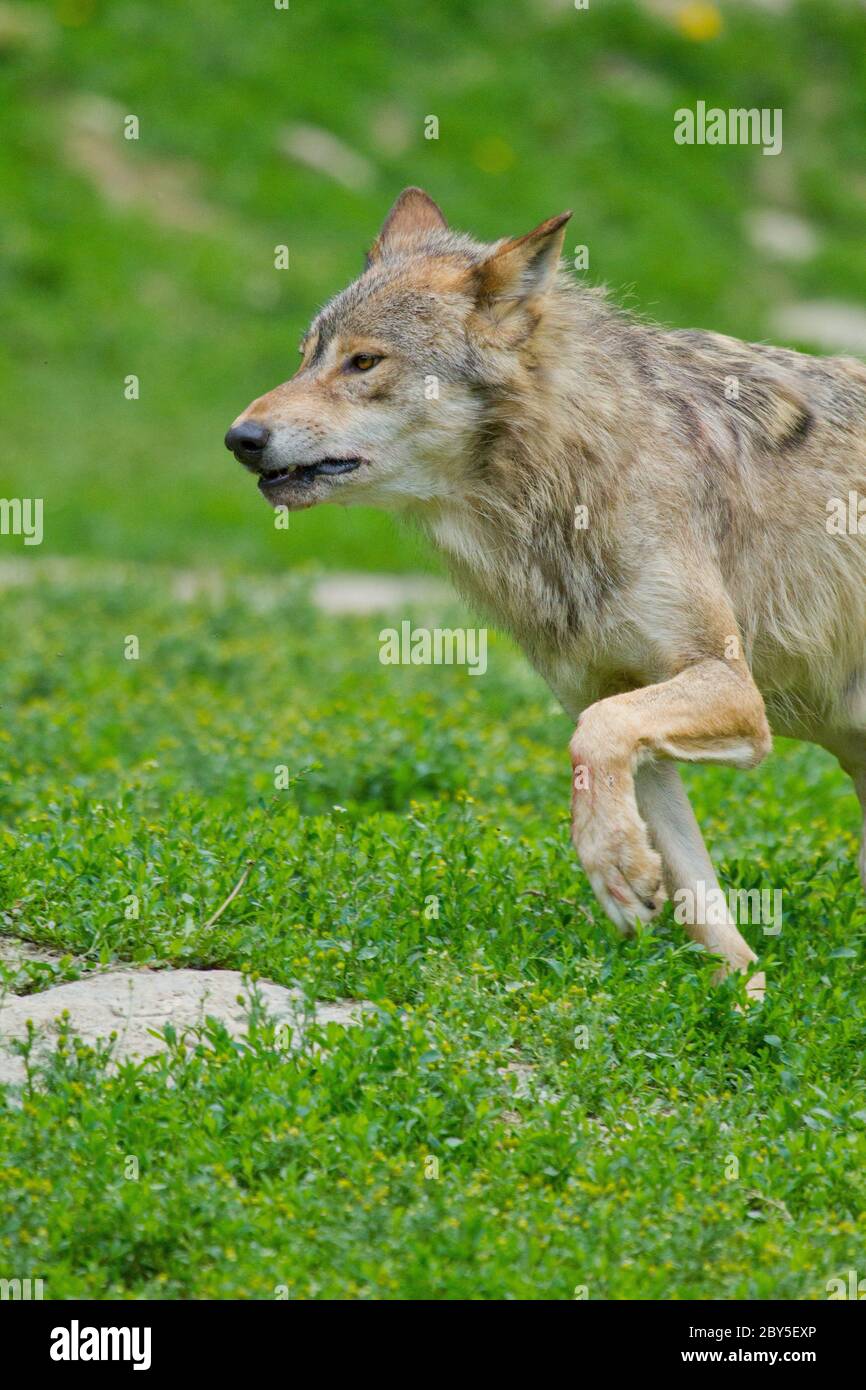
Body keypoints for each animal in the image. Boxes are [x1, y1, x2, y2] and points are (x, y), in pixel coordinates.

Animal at [226, 188, 866, 997]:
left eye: (363, 361)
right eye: (305, 355)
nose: (239, 438)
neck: (561, 486)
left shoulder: (730, 691)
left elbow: (595, 738)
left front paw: (615, 863)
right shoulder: (608, 700)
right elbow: (691, 884)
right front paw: (740, 993)